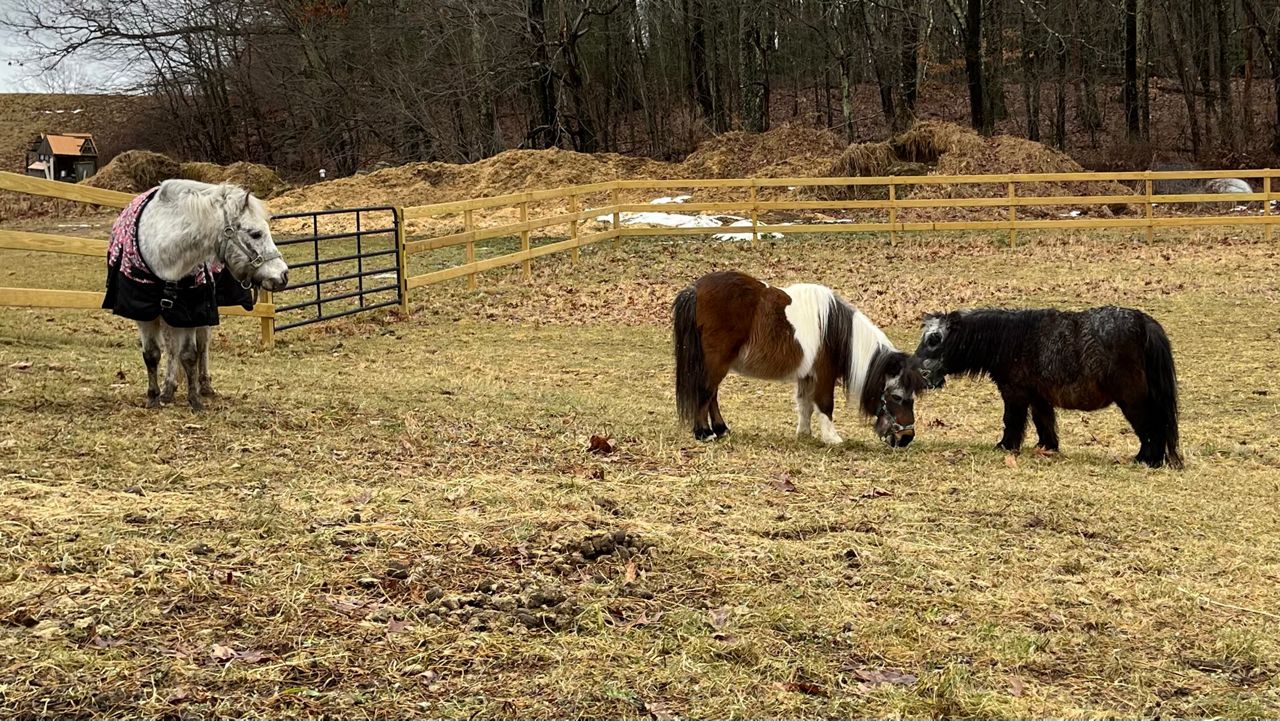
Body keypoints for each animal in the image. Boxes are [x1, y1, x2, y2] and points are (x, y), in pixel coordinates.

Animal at [103, 179, 289, 410]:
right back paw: (169, 388)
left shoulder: (191, 312)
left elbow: (190, 355)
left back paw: (204, 385)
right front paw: (153, 397)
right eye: (256, 233)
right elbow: (152, 354)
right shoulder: (142, 312)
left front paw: (195, 399)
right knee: (171, 349)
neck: (163, 249)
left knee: (202, 346)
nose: (283, 275)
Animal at [672, 270, 928, 447]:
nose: (906, 438)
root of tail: (695, 289)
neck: (834, 331)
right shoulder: (824, 375)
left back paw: (721, 429)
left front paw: (804, 433)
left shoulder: (807, 376)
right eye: (897, 396)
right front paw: (832, 438)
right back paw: (704, 432)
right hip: (716, 363)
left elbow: (805, 404)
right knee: (705, 392)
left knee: (711, 394)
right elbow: (825, 404)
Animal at [913, 306, 1182, 468]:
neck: (1008, 340)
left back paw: (1147, 460)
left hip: (1133, 401)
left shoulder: (1015, 394)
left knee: (1151, 428)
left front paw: (1005, 446)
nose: (917, 371)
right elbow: (1044, 423)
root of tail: (1145, 325)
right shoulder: (1039, 397)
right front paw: (1047, 448)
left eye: (934, 339)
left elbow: (1012, 421)